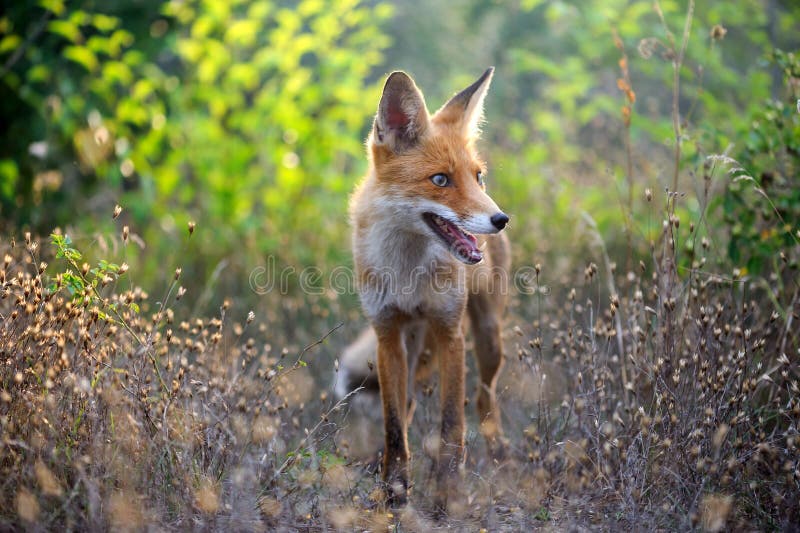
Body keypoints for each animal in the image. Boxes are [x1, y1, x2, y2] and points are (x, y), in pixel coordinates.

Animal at [345, 67, 511, 511]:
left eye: (477, 177)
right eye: (440, 179)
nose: (500, 219)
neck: (408, 272)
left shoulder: (449, 329)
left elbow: (452, 423)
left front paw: (447, 494)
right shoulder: (387, 334)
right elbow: (393, 425)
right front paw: (394, 492)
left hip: (487, 336)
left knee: (485, 399)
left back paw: (499, 455)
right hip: (413, 342)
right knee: (409, 404)